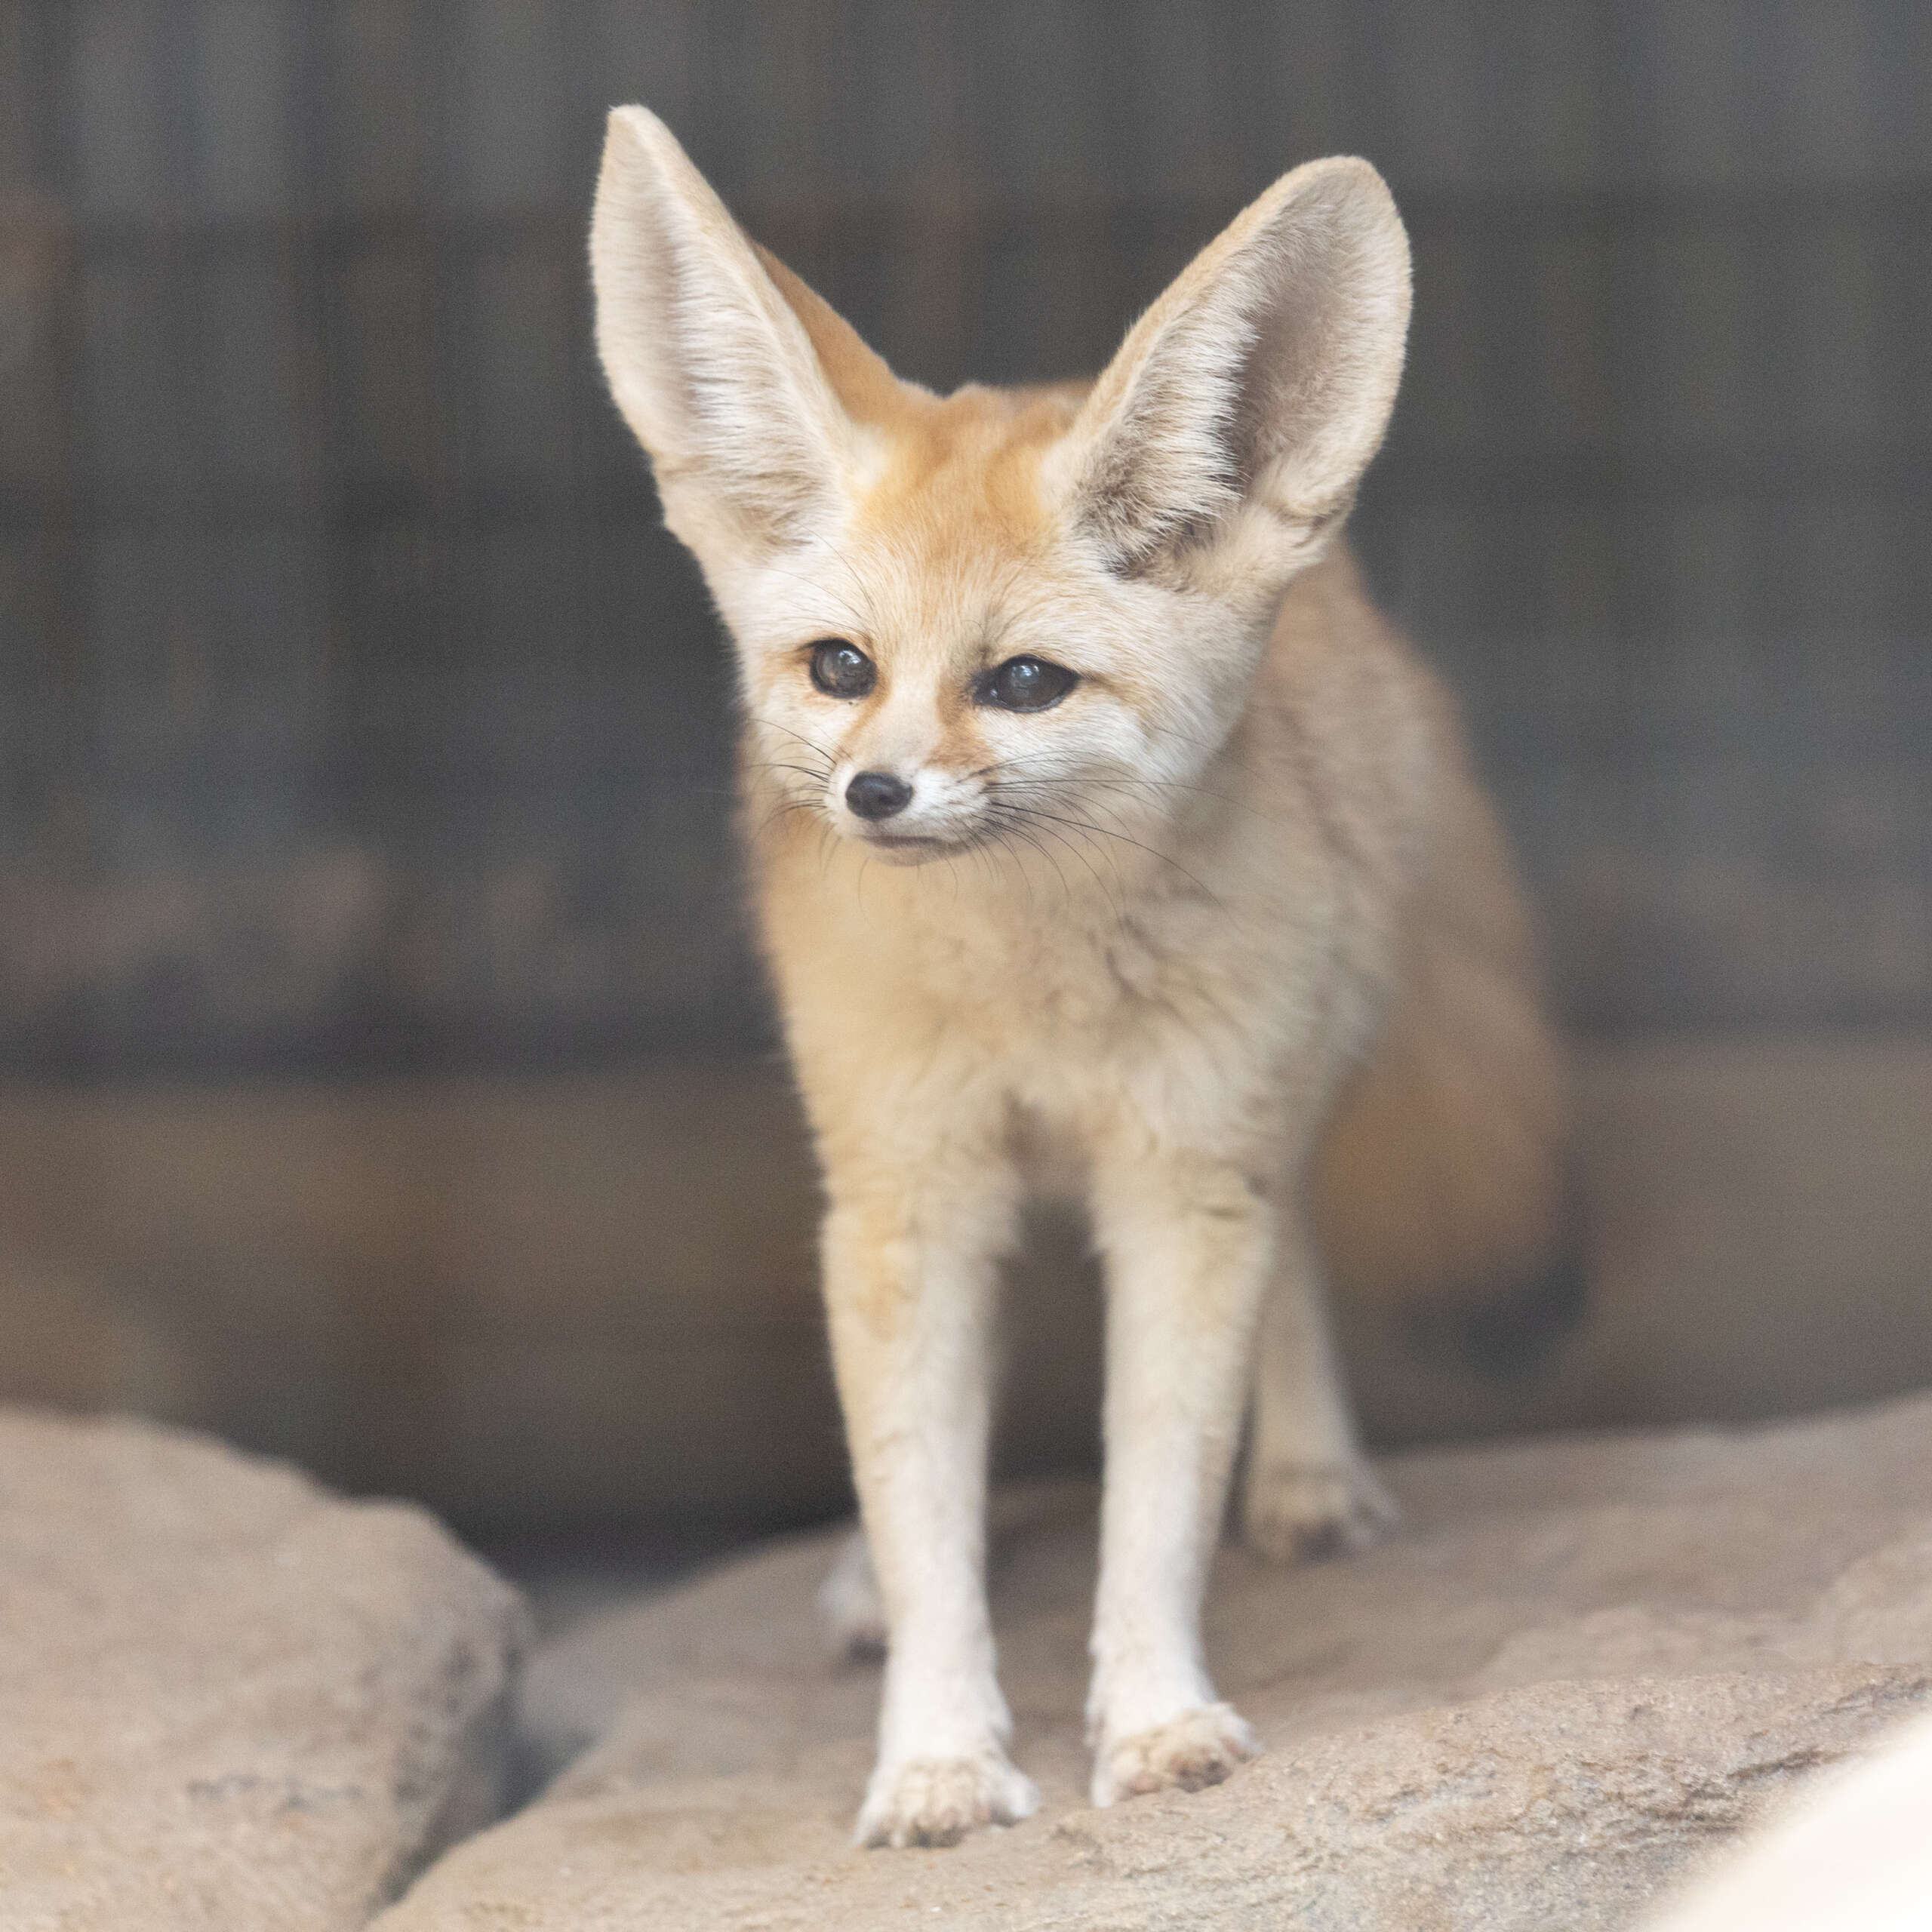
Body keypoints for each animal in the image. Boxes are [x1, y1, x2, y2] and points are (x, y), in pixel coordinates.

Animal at [589, 108, 1570, 1849]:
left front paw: (1158, 1718)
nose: (876, 795)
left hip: (1285, 1086)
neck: (1024, 996)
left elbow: (1155, 1499)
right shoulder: (903, 1191)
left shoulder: (1184, 1181)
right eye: (841, 668)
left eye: (1024, 684)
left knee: (1296, 1252)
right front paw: (934, 1754)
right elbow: (922, 1497)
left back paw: (1308, 1472)